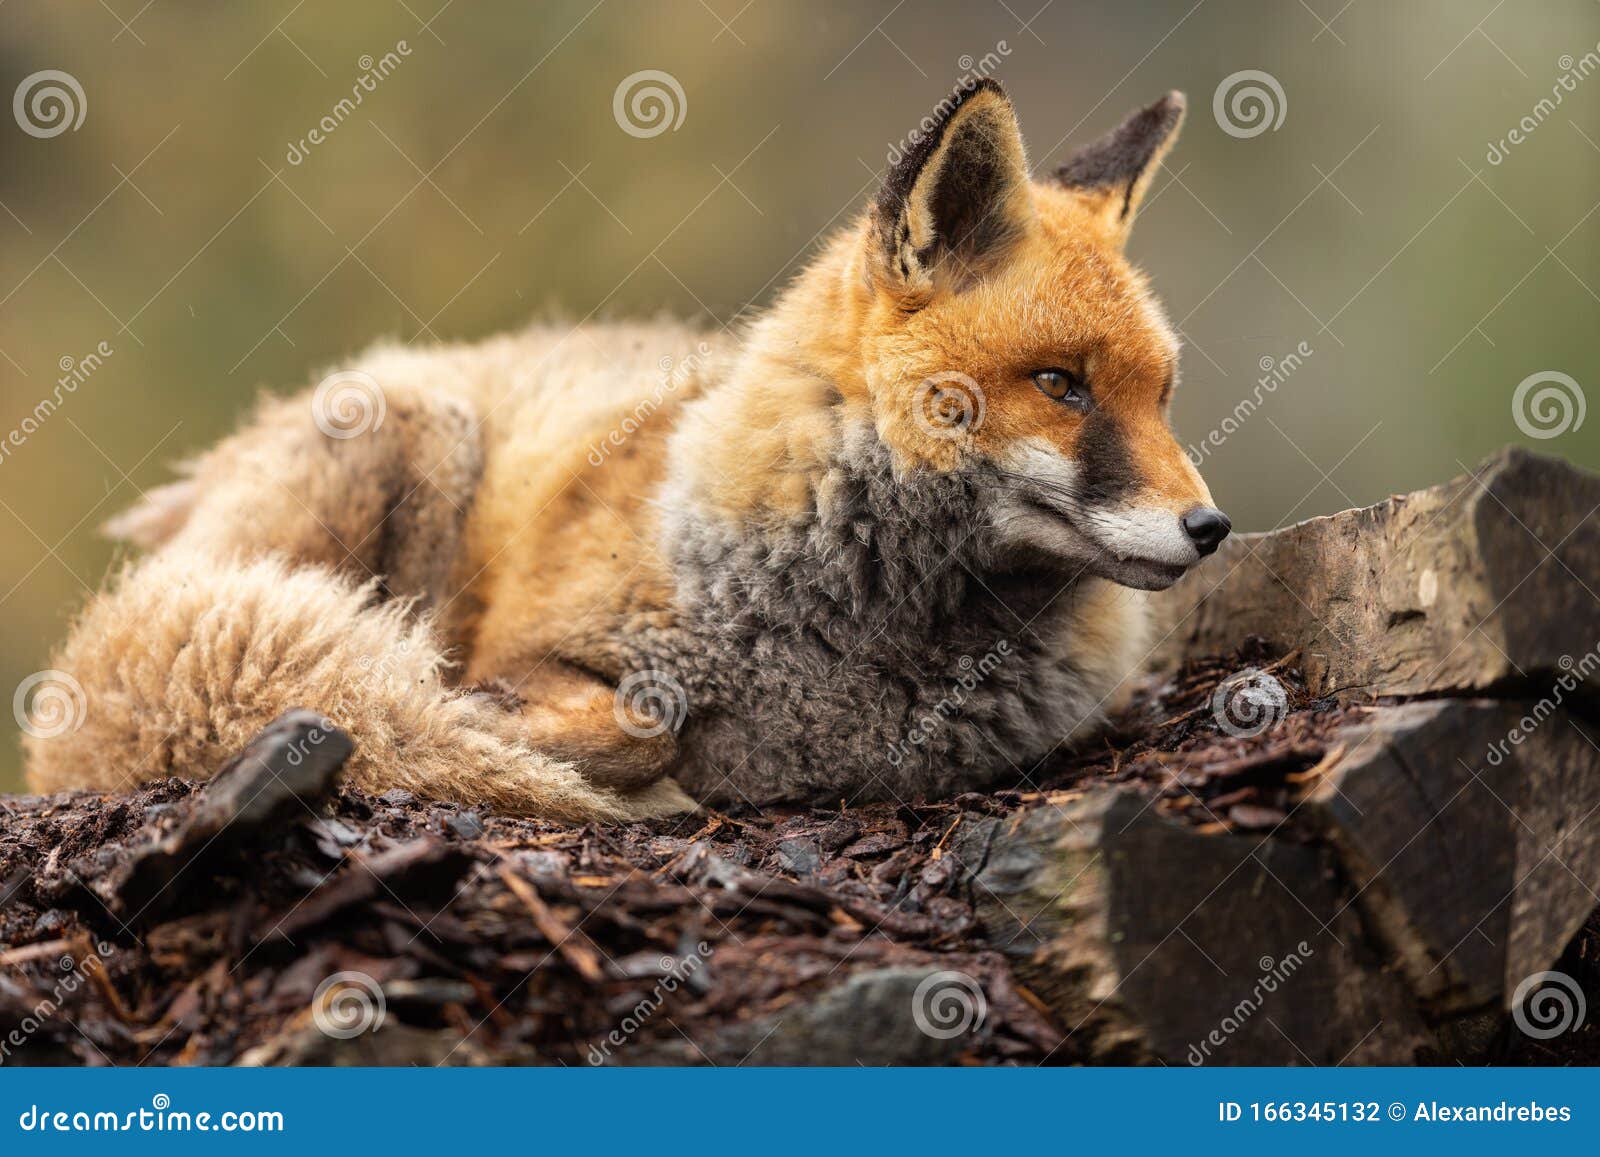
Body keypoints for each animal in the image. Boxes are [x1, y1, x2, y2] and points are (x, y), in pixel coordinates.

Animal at [24, 79, 1228, 822]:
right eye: (1061, 386)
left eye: (1165, 395)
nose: (1211, 527)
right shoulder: (544, 639)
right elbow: (640, 721)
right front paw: (484, 724)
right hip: (411, 434)